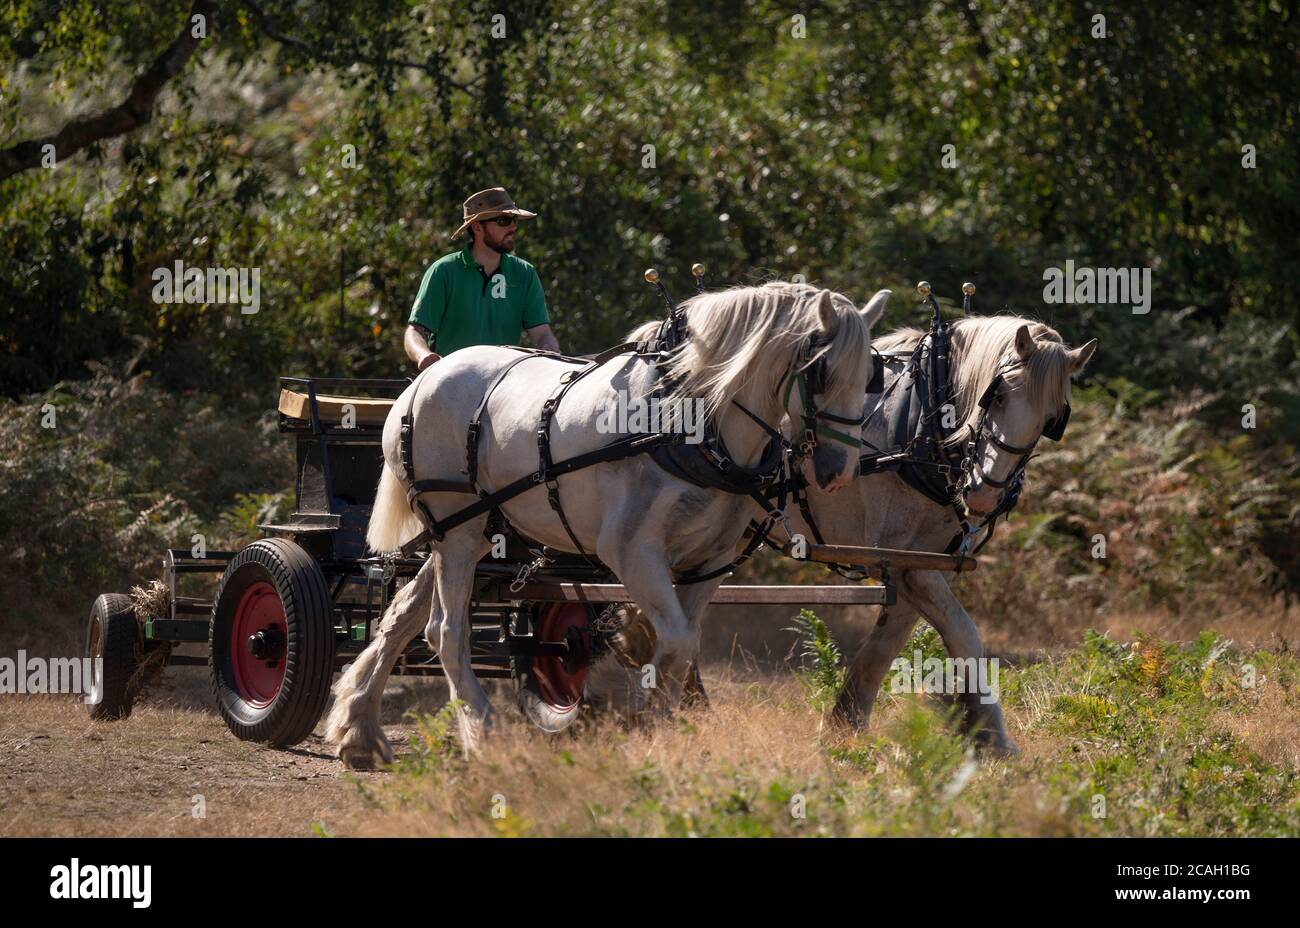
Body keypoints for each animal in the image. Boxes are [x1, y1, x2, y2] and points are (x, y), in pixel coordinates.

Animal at [324, 282, 888, 767]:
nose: (839, 471)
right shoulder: (633, 555)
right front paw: (636, 710)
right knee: (445, 630)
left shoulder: (710, 564)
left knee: (402, 615)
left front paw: (660, 725)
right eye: (819, 371)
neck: (690, 424)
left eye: (871, 376)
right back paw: (482, 729)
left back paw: (359, 728)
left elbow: (680, 645)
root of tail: (420, 383)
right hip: (457, 531)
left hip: (472, 529)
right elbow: (673, 643)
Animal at [618, 310, 1097, 756]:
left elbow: (888, 642)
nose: (983, 493)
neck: (923, 421)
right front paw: (993, 735)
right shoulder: (909, 564)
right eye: (995, 395)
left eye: (1051, 420)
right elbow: (964, 634)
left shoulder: (920, 562)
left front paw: (847, 720)